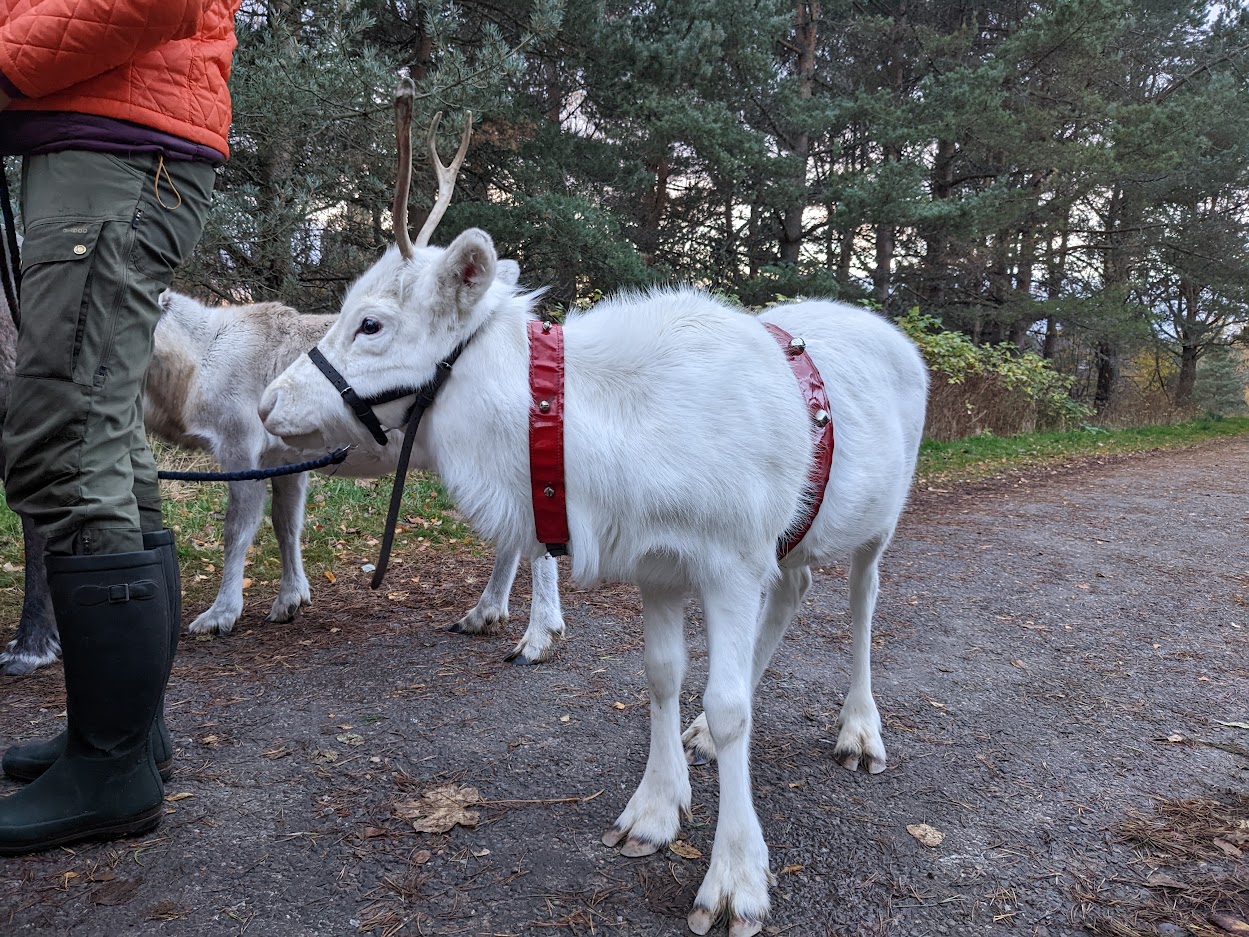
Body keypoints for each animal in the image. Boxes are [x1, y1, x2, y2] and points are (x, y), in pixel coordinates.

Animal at [258, 79, 929, 936]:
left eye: (371, 322)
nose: (270, 402)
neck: (591, 440)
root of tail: (895, 336)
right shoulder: (663, 565)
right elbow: (663, 676)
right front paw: (653, 810)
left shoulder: (727, 557)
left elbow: (733, 703)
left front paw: (735, 878)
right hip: (786, 540)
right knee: (795, 587)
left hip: (878, 521)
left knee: (861, 603)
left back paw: (858, 729)